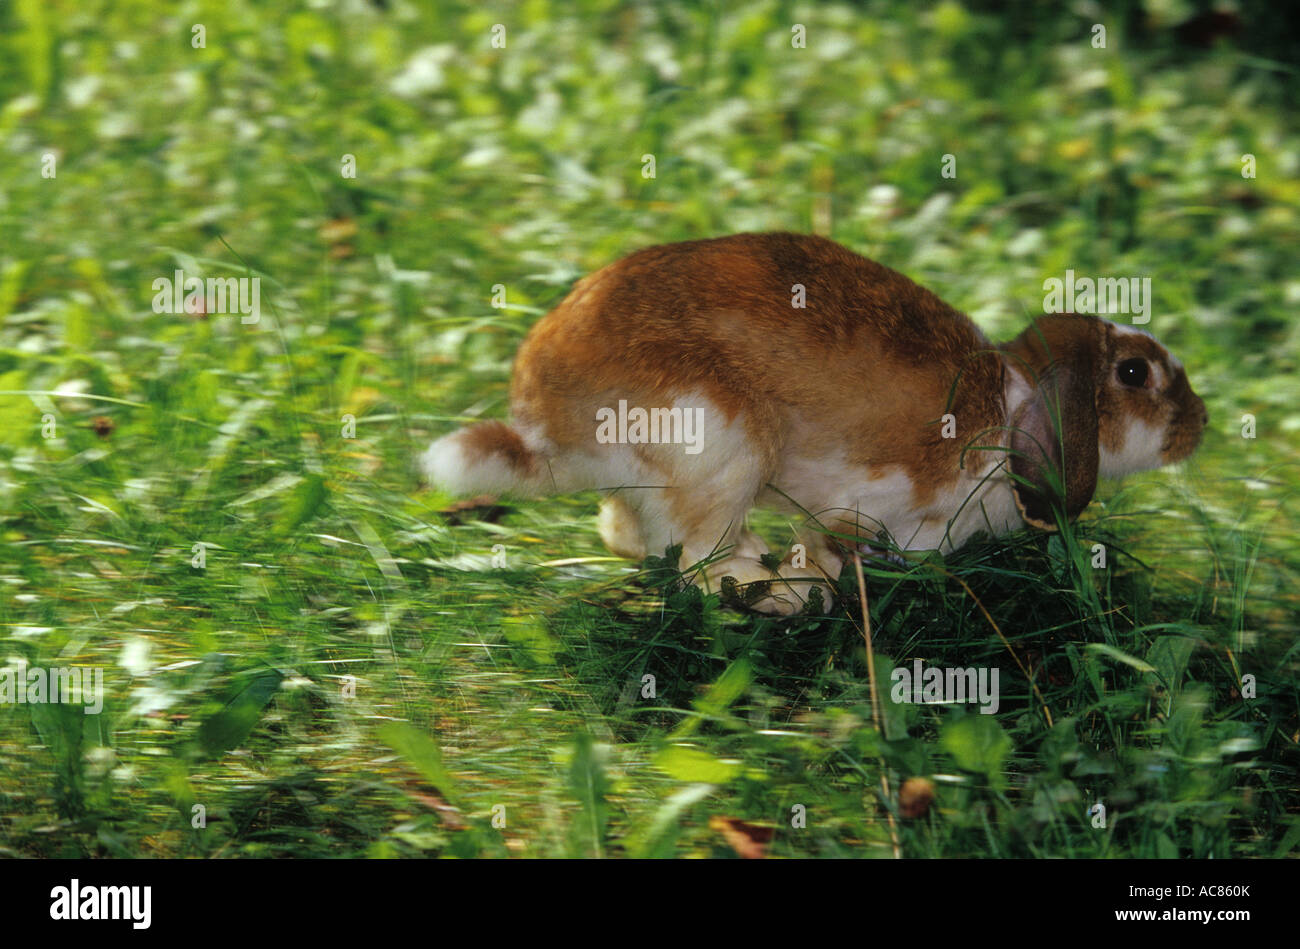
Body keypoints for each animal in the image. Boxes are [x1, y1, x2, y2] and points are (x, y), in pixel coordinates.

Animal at [423, 232, 1207, 615]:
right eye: (1134, 374)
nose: (1197, 427)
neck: (1011, 410)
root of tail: (547, 423)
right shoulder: (869, 504)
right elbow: (834, 539)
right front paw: (828, 576)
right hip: (721, 443)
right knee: (696, 557)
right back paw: (785, 594)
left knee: (628, 532)